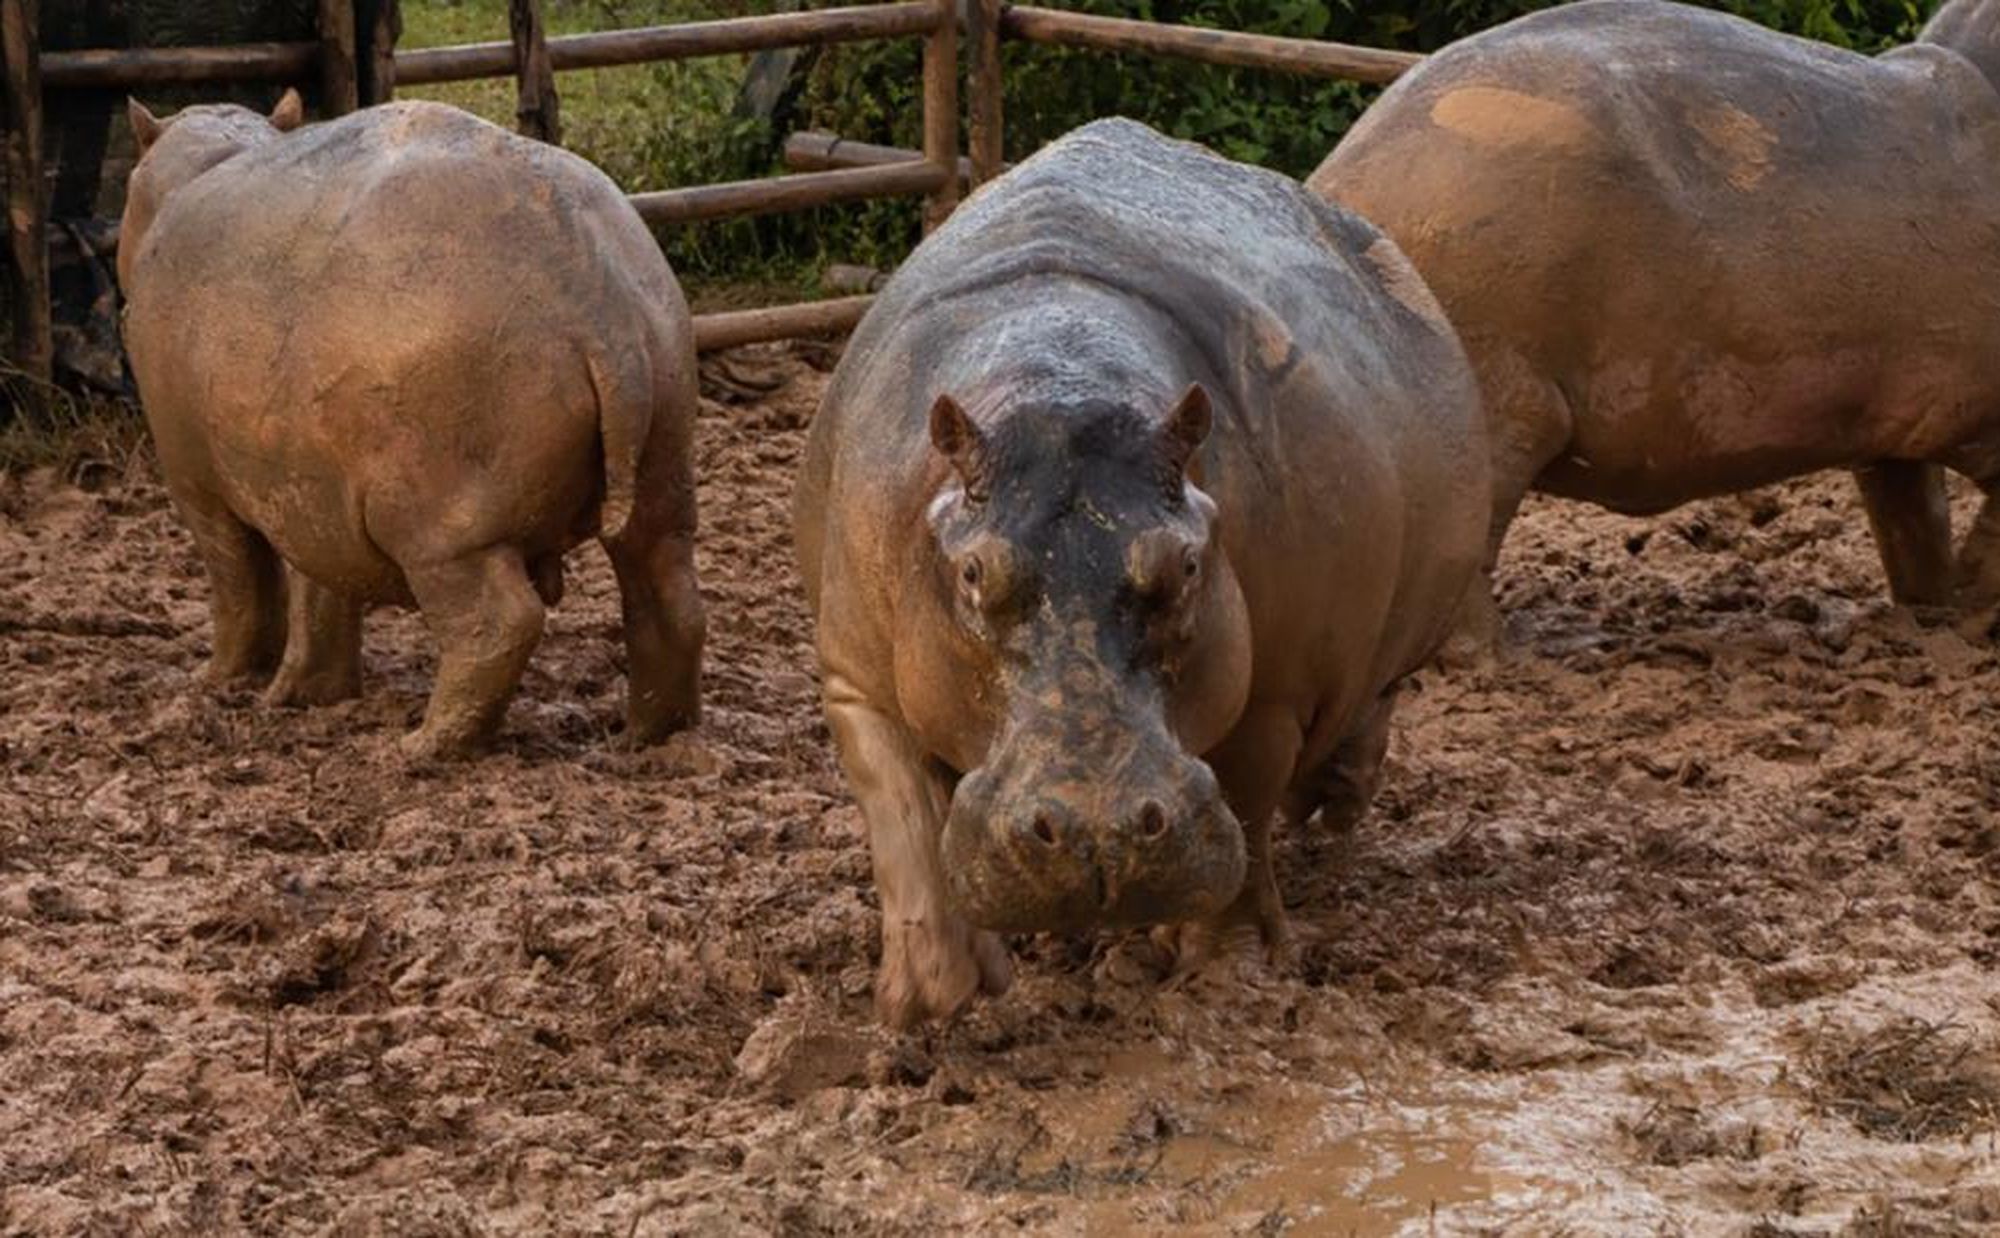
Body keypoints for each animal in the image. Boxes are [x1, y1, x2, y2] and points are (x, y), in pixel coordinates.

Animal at [120, 92, 704, 757]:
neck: (201, 163)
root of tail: (602, 312)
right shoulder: (312, 490)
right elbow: (320, 593)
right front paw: (306, 695)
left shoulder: (197, 483)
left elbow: (241, 583)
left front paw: (216, 682)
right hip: (663, 460)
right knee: (670, 599)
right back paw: (644, 739)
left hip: (440, 525)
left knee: (499, 623)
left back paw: (418, 747)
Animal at [793, 118, 1489, 1028]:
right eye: (974, 573)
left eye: (1187, 562)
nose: (1099, 832)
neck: (1057, 378)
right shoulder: (856, 677)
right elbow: (904, 819)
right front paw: (934, 1000)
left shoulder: (1272, 692)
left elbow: (1245, 809)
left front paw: (1227, 975)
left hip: (1390, 636)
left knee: (1368, 705)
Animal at [1311, 0, 2000, 647]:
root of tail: (1336, 182)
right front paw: (1972, 619)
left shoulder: (1898, 425)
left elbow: (1914, 518)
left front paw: (1933, 617)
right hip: (1498, 393)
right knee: (1471, 542)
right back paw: (1495, 658)